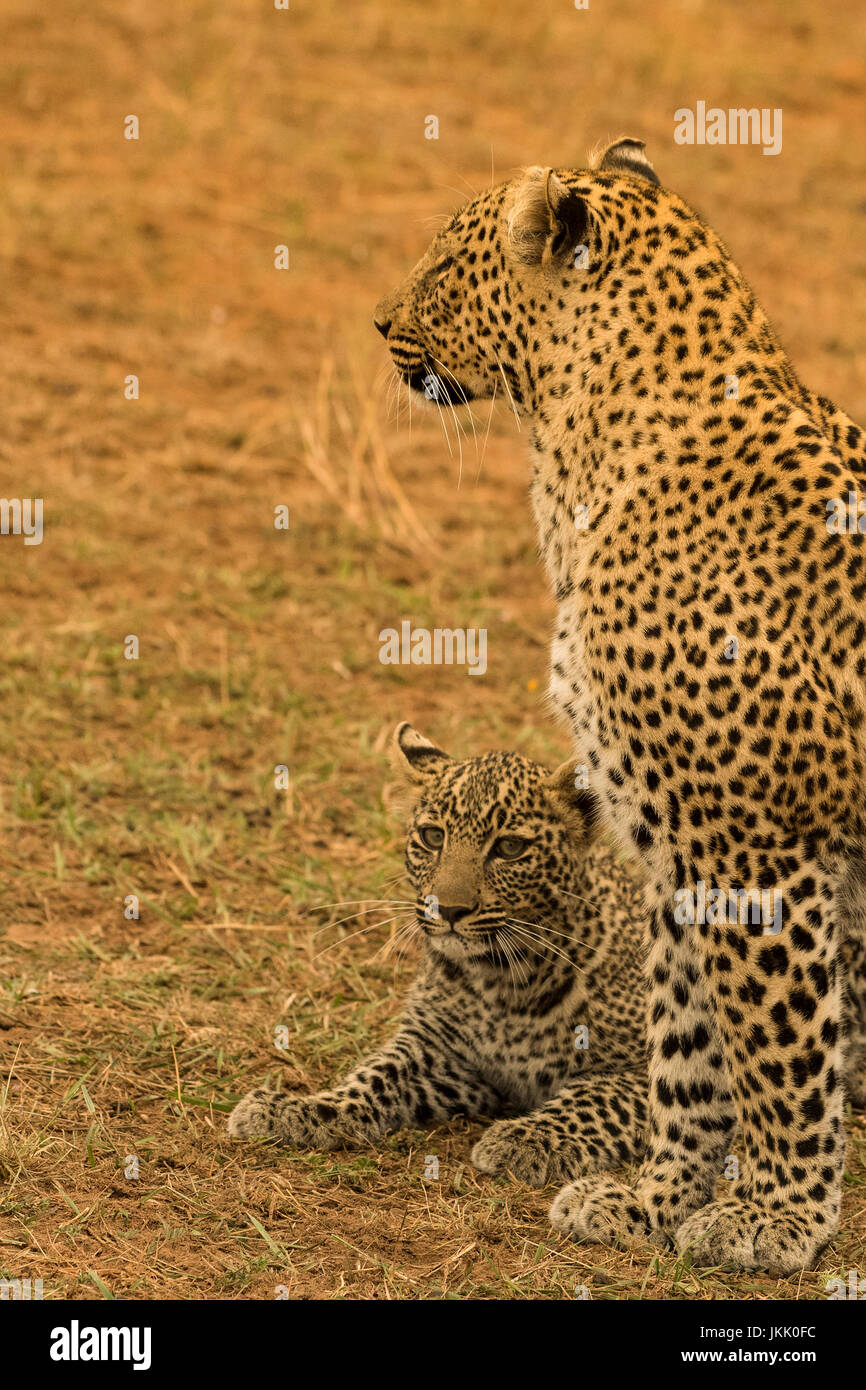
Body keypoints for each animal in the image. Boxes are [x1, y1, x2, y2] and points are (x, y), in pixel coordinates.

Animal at [229, 721, 648, 1187]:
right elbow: (375, 1077)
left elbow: (598, 1099)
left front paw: (524, 1139)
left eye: (510, 848)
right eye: (433, 838)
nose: (447, 909)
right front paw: (295, 1109)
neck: (500, 980)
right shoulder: (440, 1053)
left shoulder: (655, 1072)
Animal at [373, 136, 866, 1273]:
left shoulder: (749, 843)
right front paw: (652, 1200)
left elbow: (778, 1052)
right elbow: (685, 1052)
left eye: (443, 261)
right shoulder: (666, 836)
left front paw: (775, 1220)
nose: (378, 321)